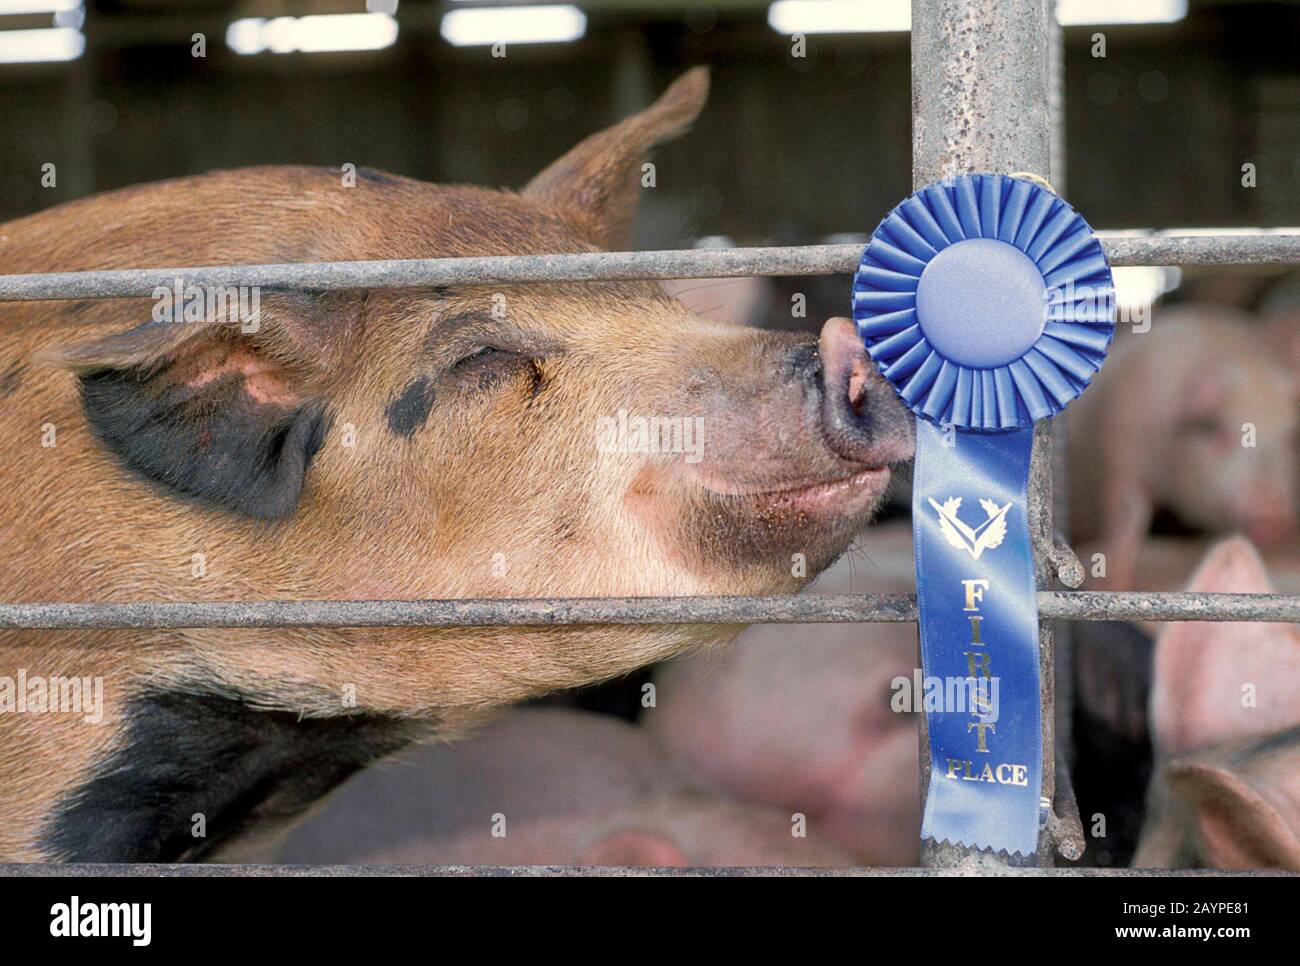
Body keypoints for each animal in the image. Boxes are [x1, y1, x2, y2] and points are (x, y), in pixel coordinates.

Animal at [1067, 305, 1298, 590]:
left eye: (1292, 437)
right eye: (1214, 429)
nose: (1271, 516)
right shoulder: (1119, 450)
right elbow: (1125, 513)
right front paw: (1117, 583)